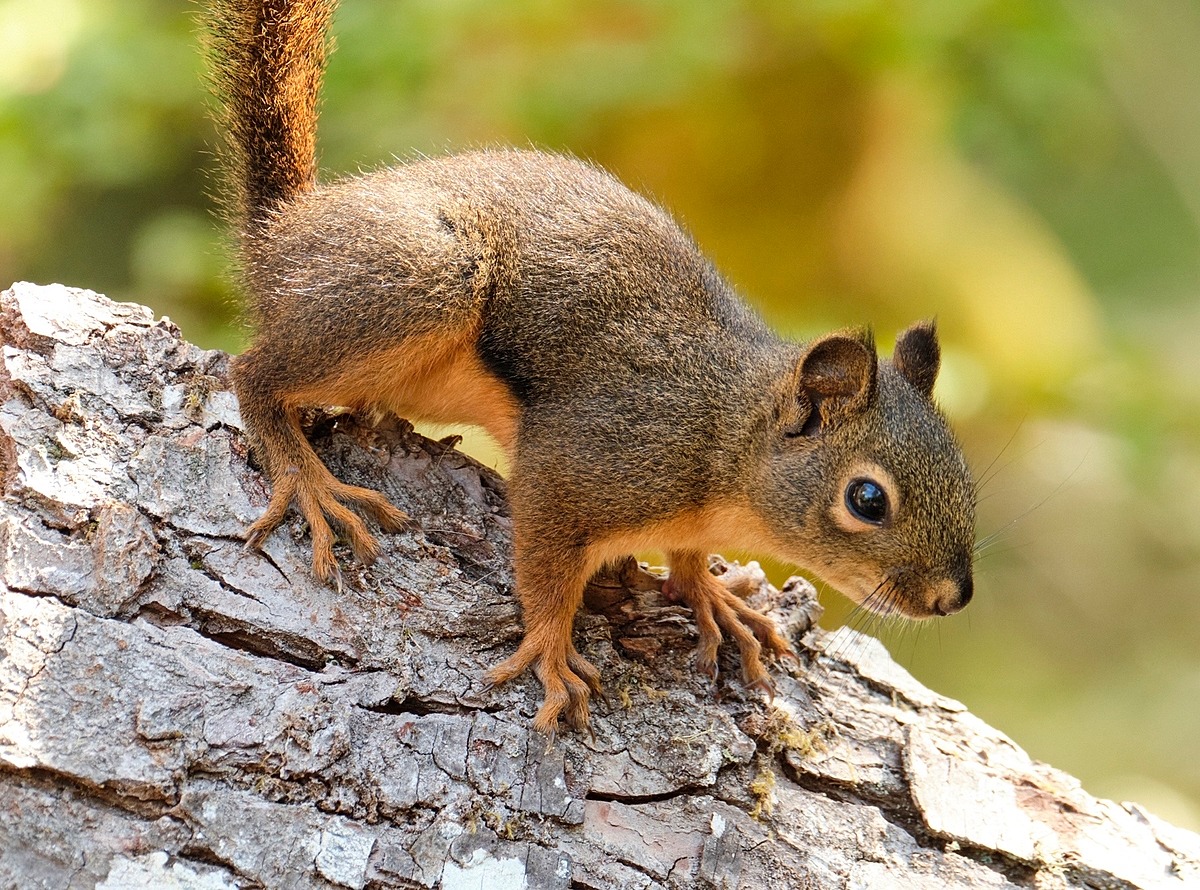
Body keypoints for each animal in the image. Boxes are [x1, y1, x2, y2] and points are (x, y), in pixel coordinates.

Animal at [204, 0, 976, 733]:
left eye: (964, 473)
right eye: (867, 499)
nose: (953, 597)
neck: (725, 434)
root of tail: (286, 232)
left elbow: (686, 558)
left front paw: (712, 596)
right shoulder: (591, 459)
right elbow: (546, 561)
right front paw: (551, 646)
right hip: (426, 276)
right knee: (256, 374)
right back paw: (306, 479)